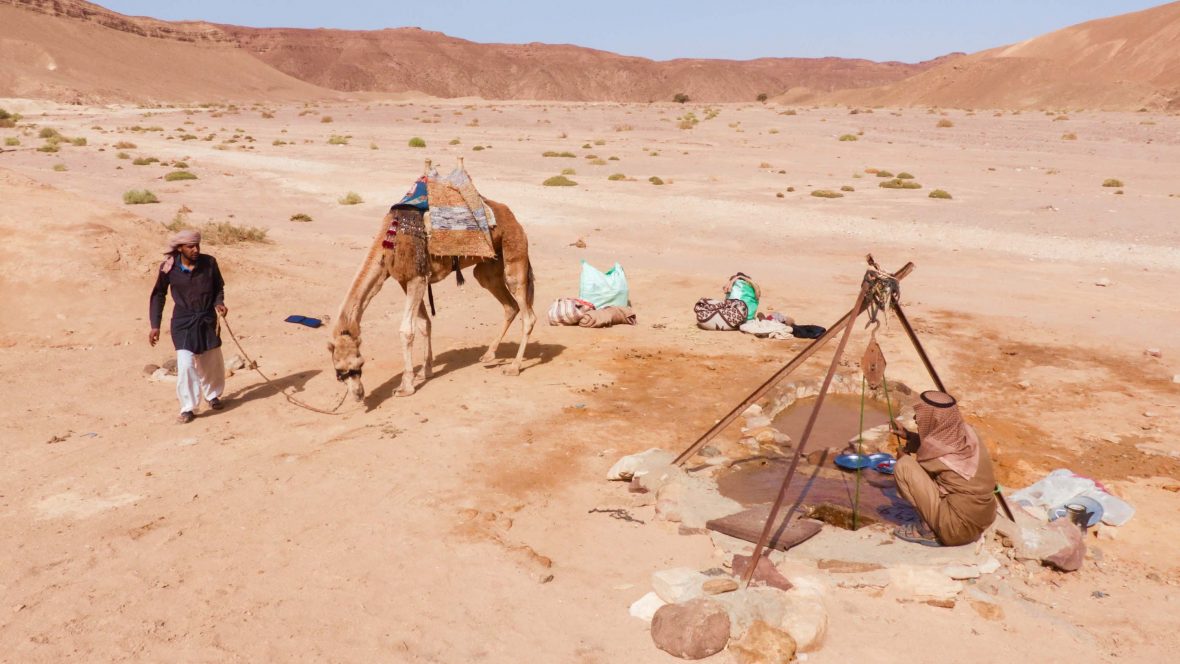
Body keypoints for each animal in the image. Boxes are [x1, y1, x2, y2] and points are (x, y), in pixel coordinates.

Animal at [328, 195, 535, 402]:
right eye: (338, 370)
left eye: (359, 363)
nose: (358, 395)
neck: (387, 245)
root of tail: (515, 221)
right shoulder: (407, 281)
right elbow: (423, 324)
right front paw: (425, 371)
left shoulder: (416, 277)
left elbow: (406, 331)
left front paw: (405, 387)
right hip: (488, 268)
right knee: (509, 305)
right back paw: (489, 355)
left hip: (514, 253)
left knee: (528, 315)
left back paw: (513, 367)